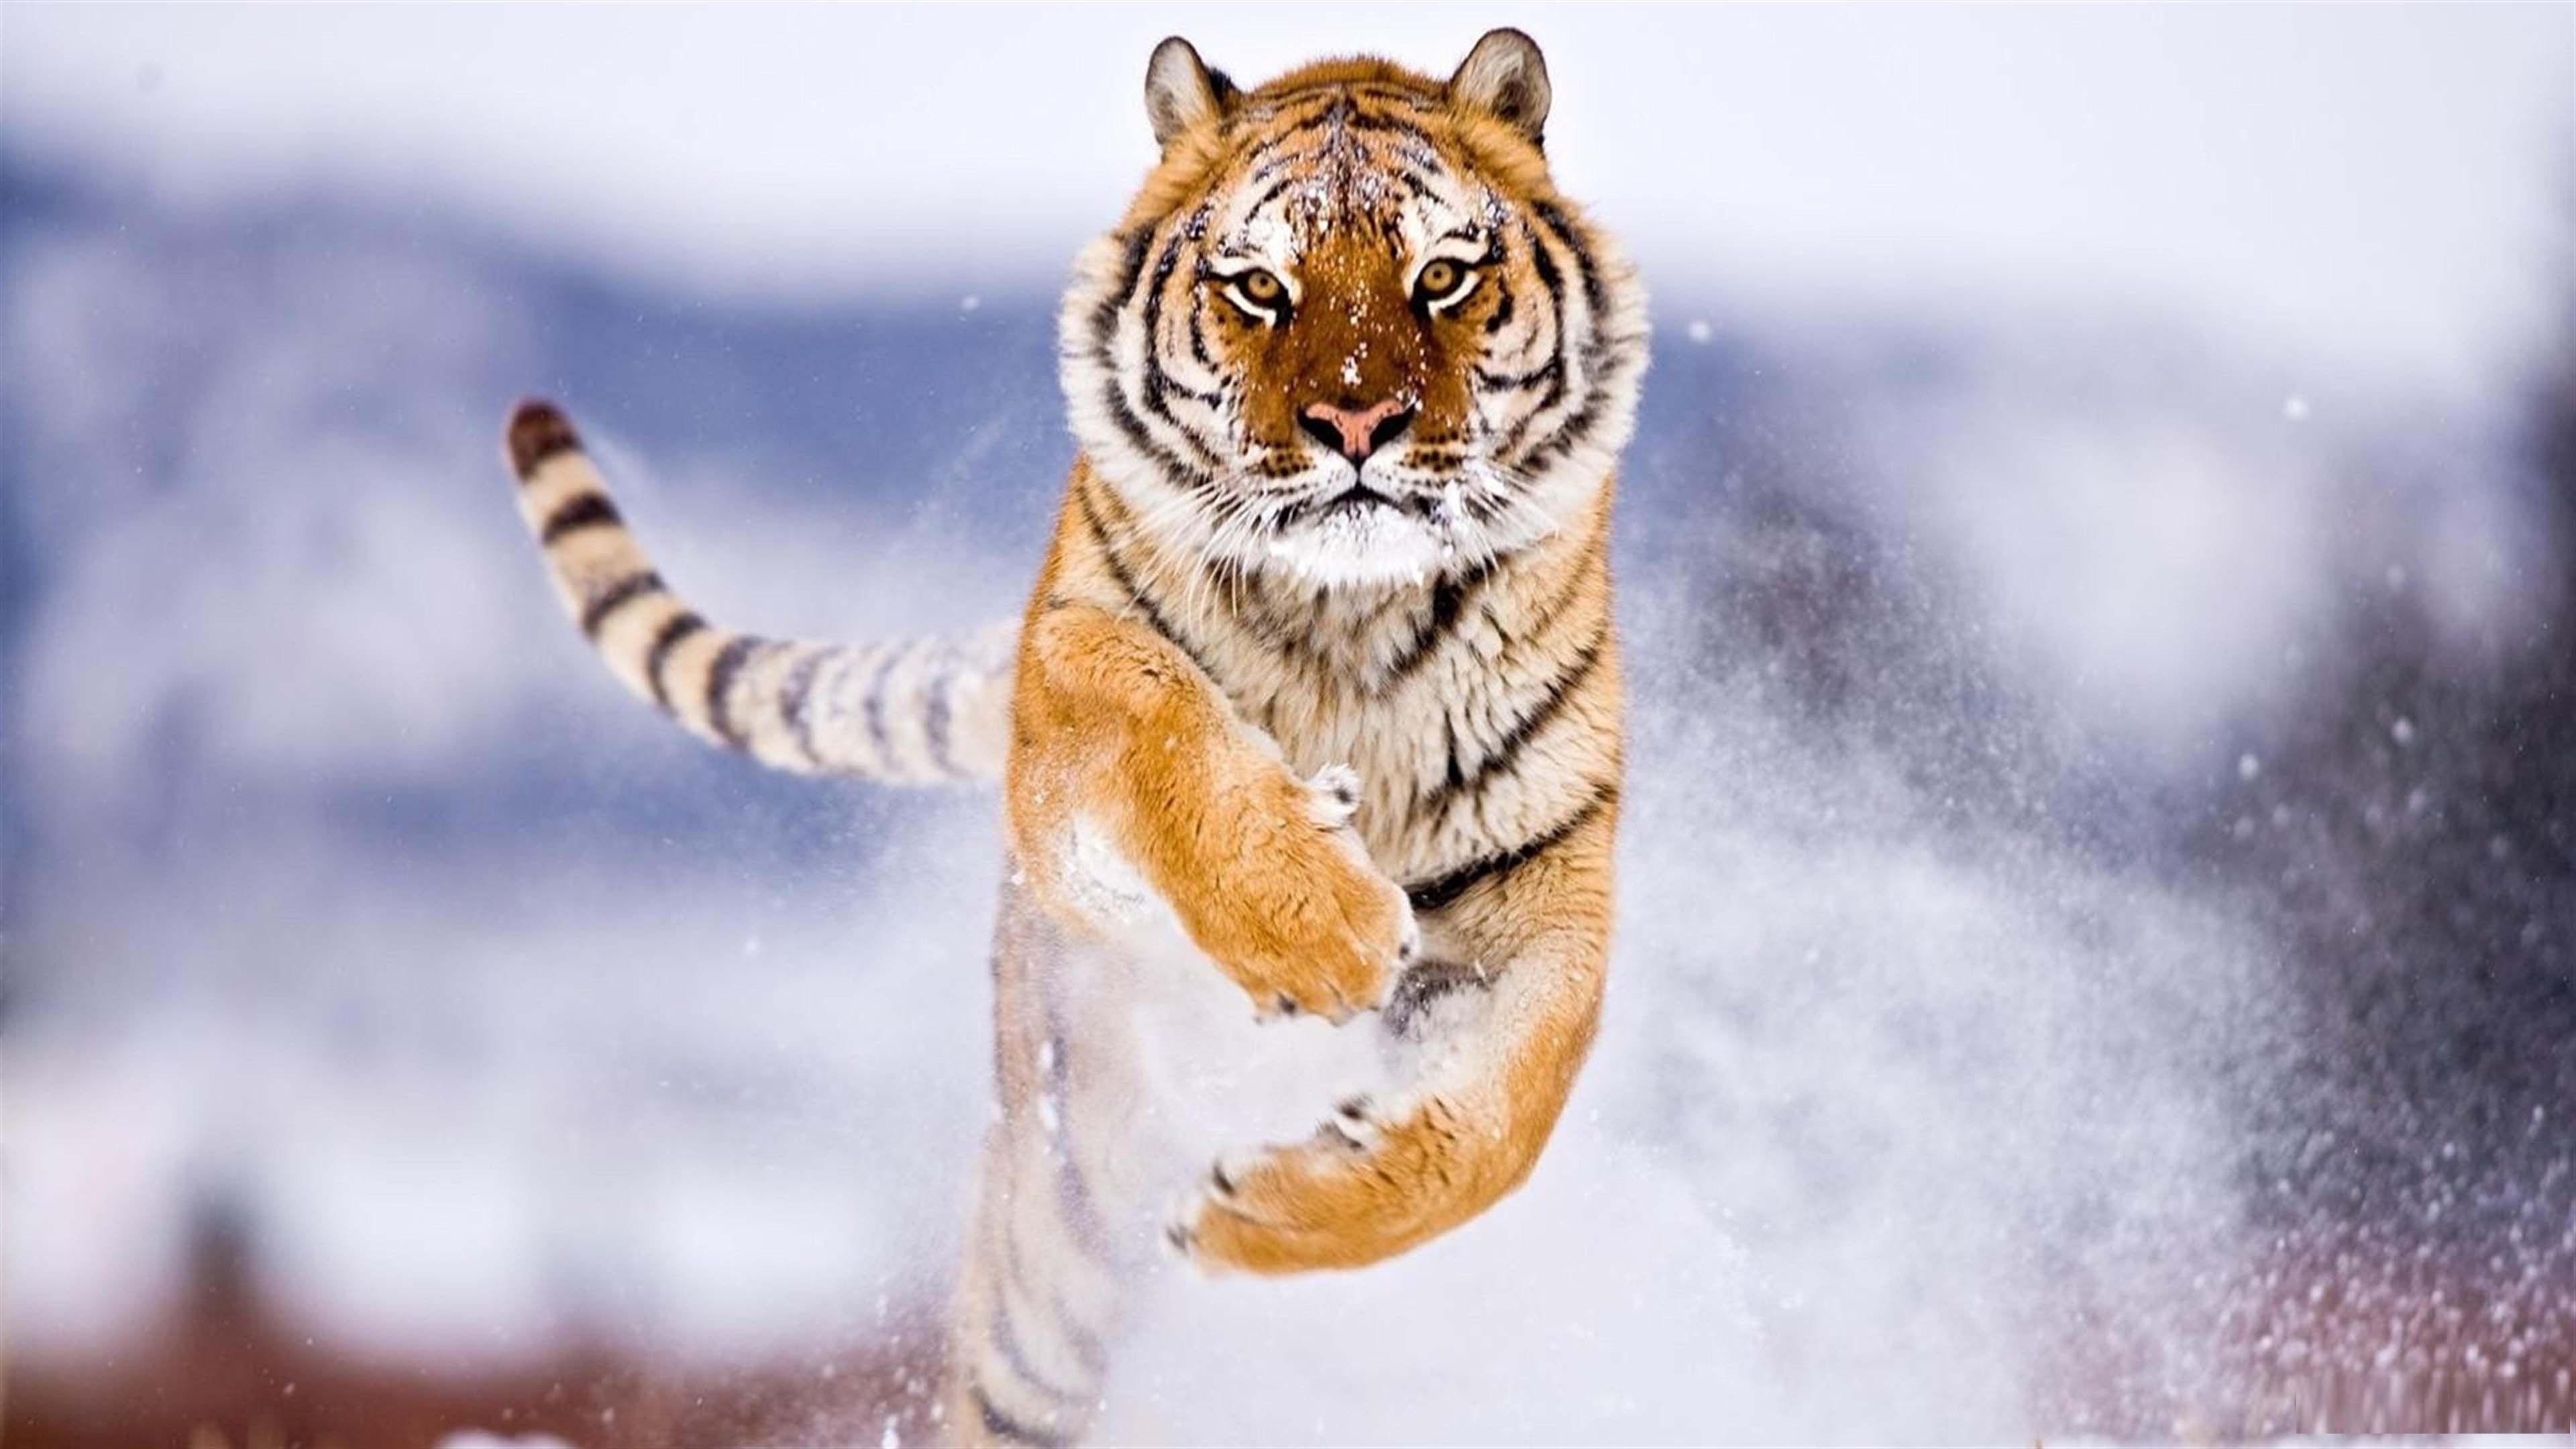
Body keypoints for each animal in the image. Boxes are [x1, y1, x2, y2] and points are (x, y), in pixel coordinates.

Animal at [499, 27, 1645, 1445]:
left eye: (1442, 275)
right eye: (1260, 287)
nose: (1356, 423)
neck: (1350, 619)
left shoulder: (1546, 885)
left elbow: (1505, 1120)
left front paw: (1268, 1212)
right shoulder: (1066, 715)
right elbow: (1155, 712)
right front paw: (1324, 929)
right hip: (1053, 1253)